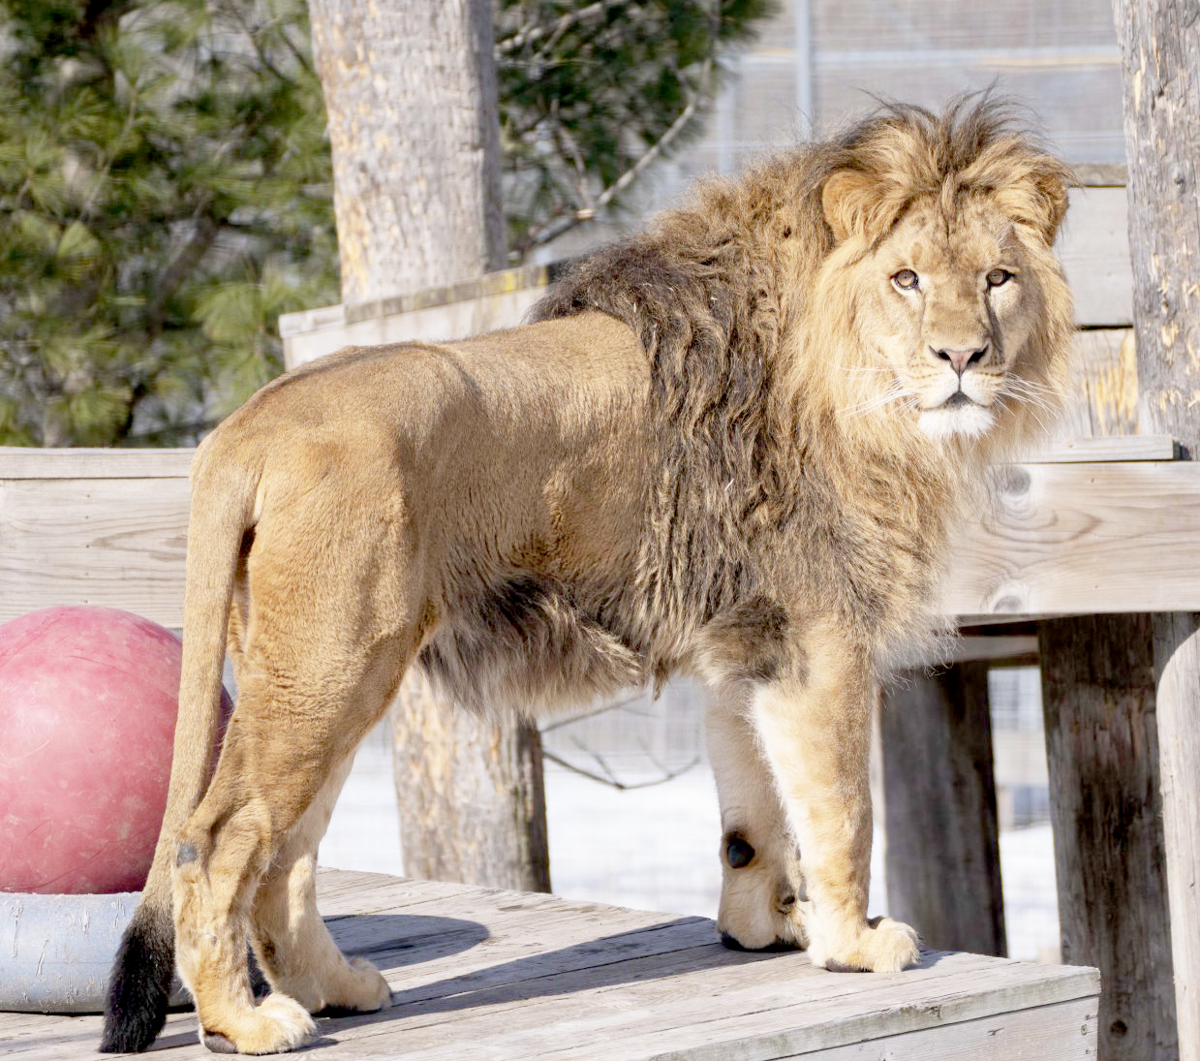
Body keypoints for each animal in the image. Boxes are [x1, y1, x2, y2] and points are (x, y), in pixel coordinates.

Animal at [101, 96, 1073, 1054]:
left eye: (997, 279)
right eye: (906, 279)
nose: (963, 359)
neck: (856, 383)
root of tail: (244, 428)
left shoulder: (745, 640)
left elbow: (753, 811)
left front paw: (763, 929)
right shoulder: (819, 634)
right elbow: (841, 809)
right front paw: (855, 945)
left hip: (326, 672)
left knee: (289, 854)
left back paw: (337, 990)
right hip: (329, 666)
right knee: (216, 840)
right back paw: (243, 1020)